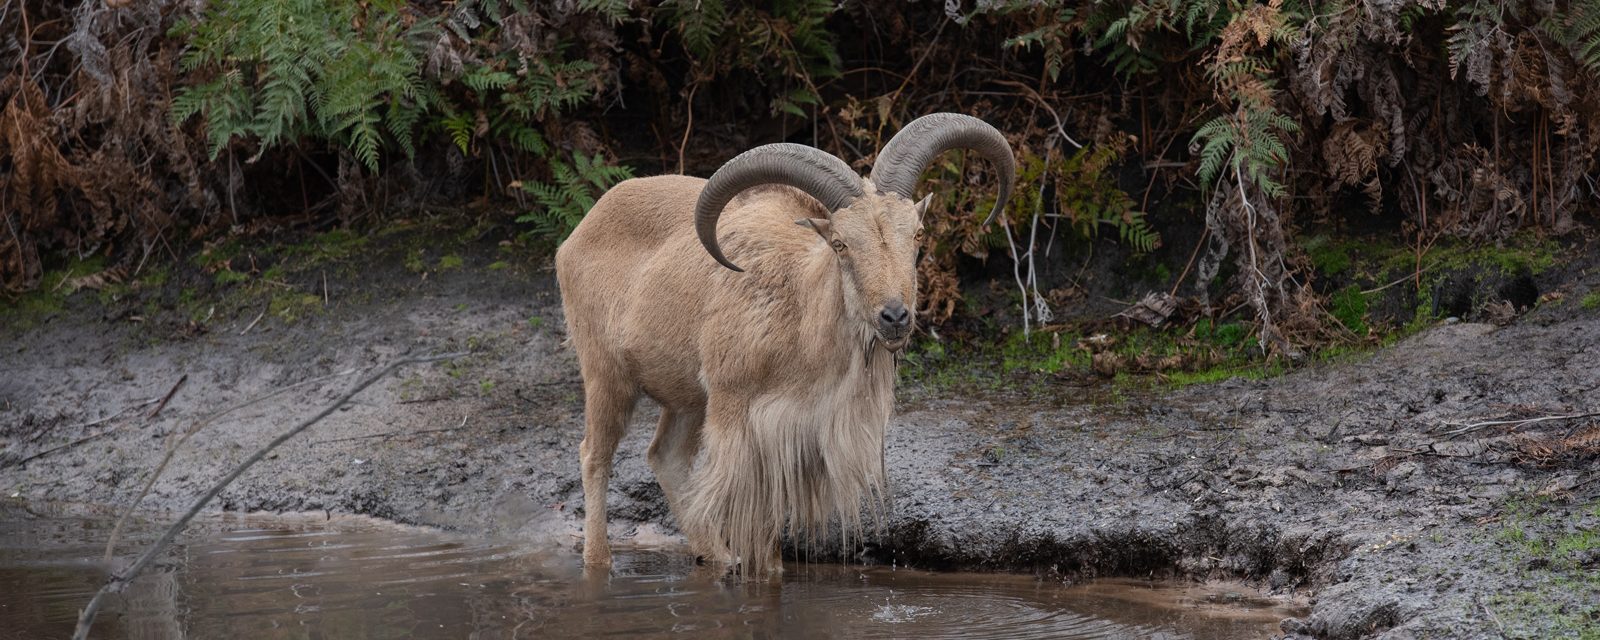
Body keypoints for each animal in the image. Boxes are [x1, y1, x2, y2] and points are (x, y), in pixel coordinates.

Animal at [555, 112, 1014, 575]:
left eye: (918, 235)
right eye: (841, 244)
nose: (895, 316)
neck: (799, 321)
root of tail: (580, 230)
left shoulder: (793, 439)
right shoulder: (735, 411)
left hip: (686, 398)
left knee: (665, 457)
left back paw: (717, 555)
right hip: (608, 375)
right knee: (594, 456)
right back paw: (600, 560)